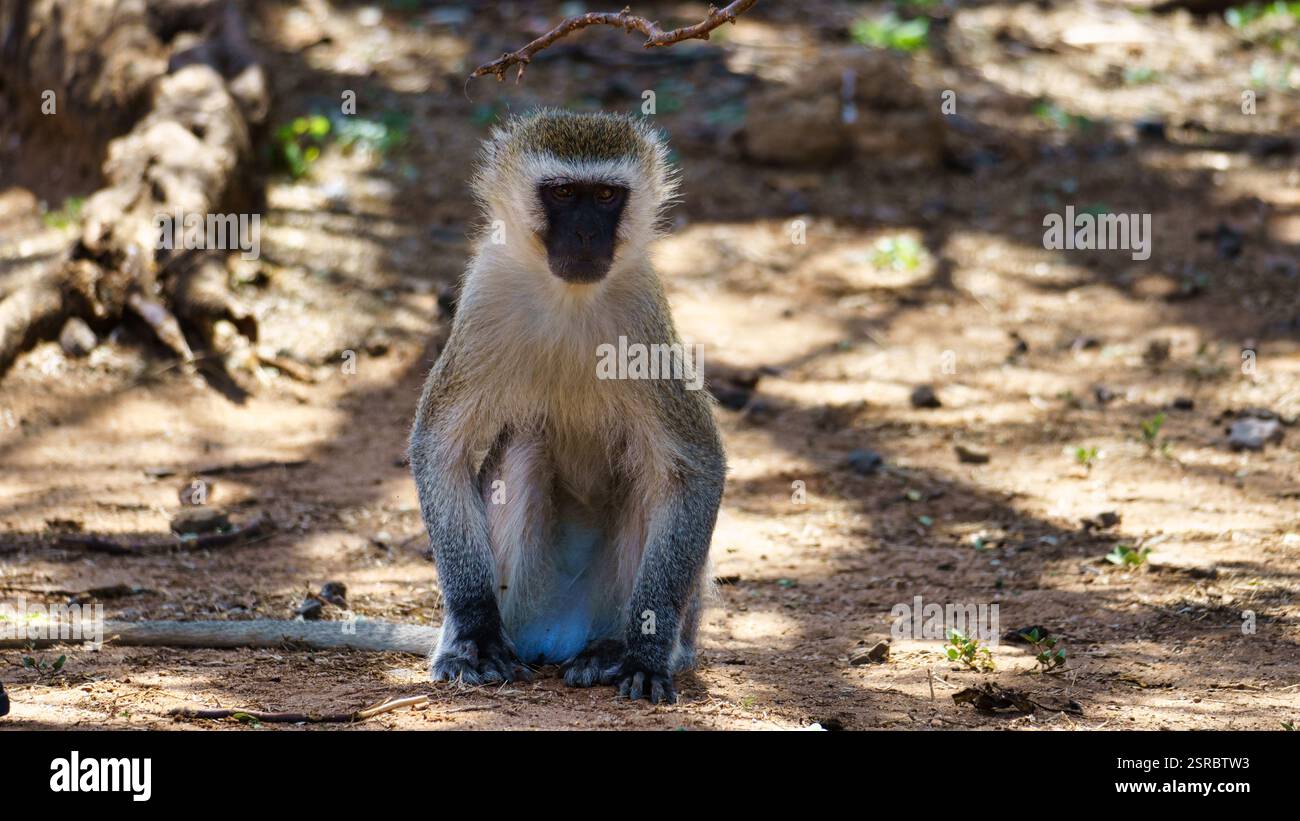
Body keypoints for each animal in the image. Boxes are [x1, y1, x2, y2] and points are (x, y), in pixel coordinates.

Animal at [407, 109, 726, 704]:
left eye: (604, 195)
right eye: (561, 194)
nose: (583, 234)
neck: (567, 299)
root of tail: (561, 635)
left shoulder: (643, 311)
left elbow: (695, 467)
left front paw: (645, 653)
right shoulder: (485, 294)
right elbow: (440, 447)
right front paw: (476, 631)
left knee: (651, 479)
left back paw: (611, 648)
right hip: (526, 599)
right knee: (524, 448)